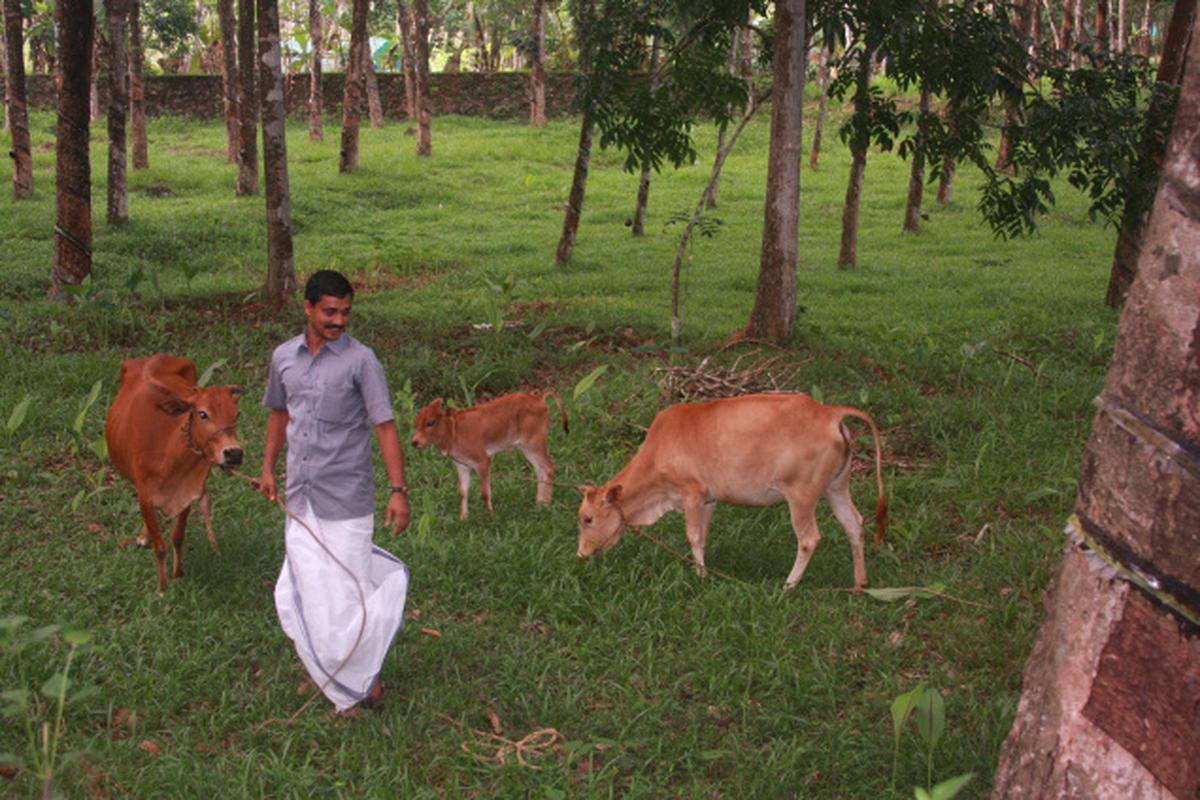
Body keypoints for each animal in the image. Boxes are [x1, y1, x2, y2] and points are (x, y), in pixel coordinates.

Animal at [105, 354, 244, 593]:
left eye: (236, 414)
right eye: (202, 414)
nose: (233, 453)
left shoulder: (187, 492)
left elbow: (177, 537)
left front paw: (178, 574)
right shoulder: (144, 495)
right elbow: (160, 547)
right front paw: (162, 588)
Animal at [412, 392, 568, 519]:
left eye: (430, 422)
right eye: (416, 423)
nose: (414, 442)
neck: (454, 431)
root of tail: (539, 398)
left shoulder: (483, 461)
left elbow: (485, 493)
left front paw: (490, 516)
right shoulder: (462, 465)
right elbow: (463, 492)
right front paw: (463, 518)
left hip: (534, 443)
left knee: (549, 467)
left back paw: (545, 505)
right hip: (526, 447)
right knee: (540, 470)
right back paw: (539, 504)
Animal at [576, 393, 886, 591]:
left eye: (587, 518)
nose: (581, 555)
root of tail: (829, 412)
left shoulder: (691, 491)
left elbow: (693, 535)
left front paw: (700, 576)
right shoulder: (709, 499)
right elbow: (703, 535)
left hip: (801, 495)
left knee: (809, 539)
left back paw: (788, 586)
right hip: (836, 487)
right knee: (854, 524)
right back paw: (860, 584)